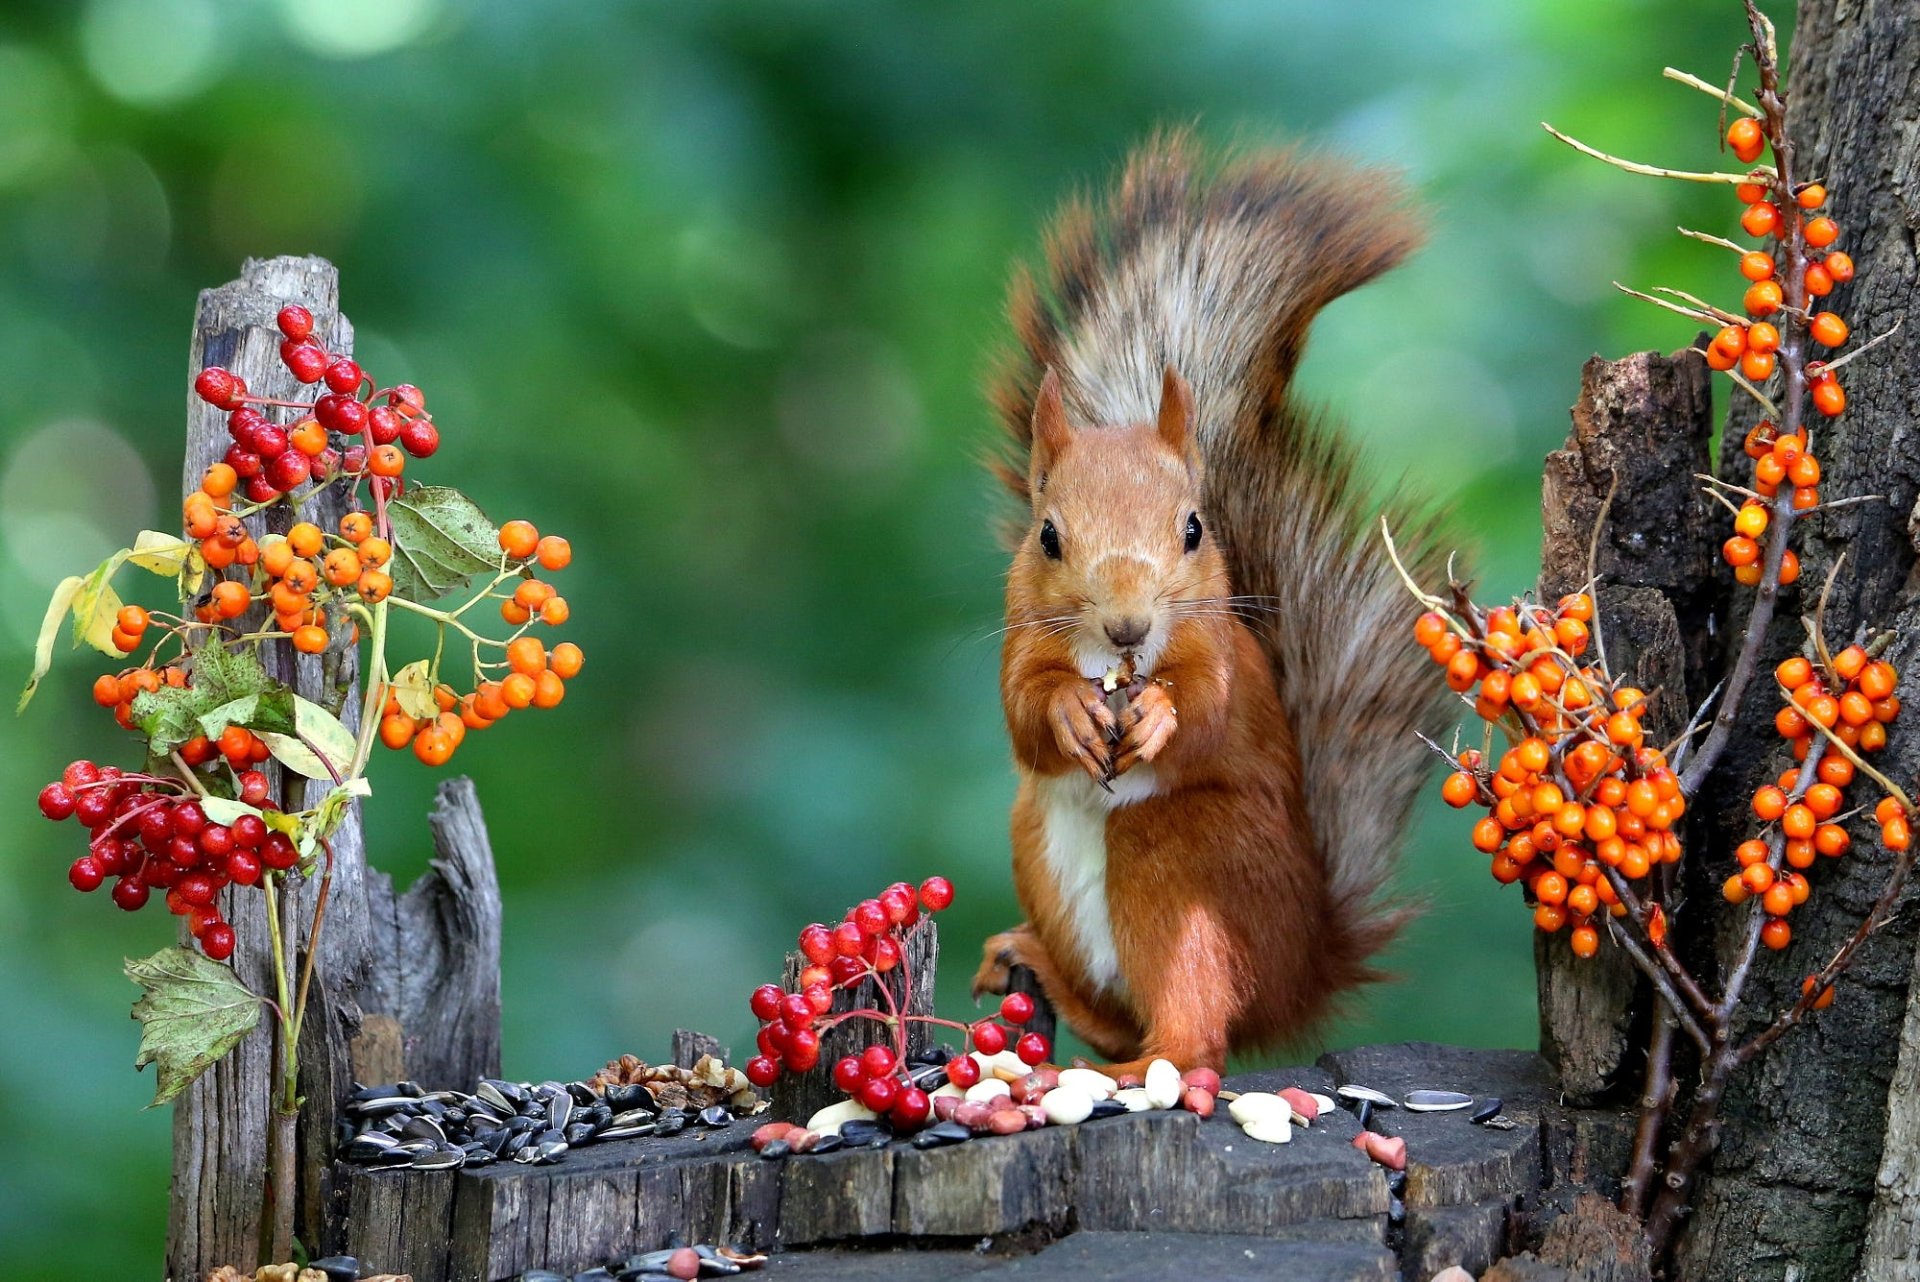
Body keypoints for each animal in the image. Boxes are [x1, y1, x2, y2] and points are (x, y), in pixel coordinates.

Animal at [971, 132, 1451, 1077]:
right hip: (1035, 844)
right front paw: (1070, 711)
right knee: (1123, 1012)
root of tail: (1301, 977)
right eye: (1048, 536)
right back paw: (1041, 971)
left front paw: (1159, 715)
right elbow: (1020, 713)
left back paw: (1135, 1069)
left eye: (1195, 528)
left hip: (1184, 854)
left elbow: (1209, 710)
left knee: (1194, 1038)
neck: (1115, 665)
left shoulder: (1223, 652)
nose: (1127, 625)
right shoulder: (1020, 634)